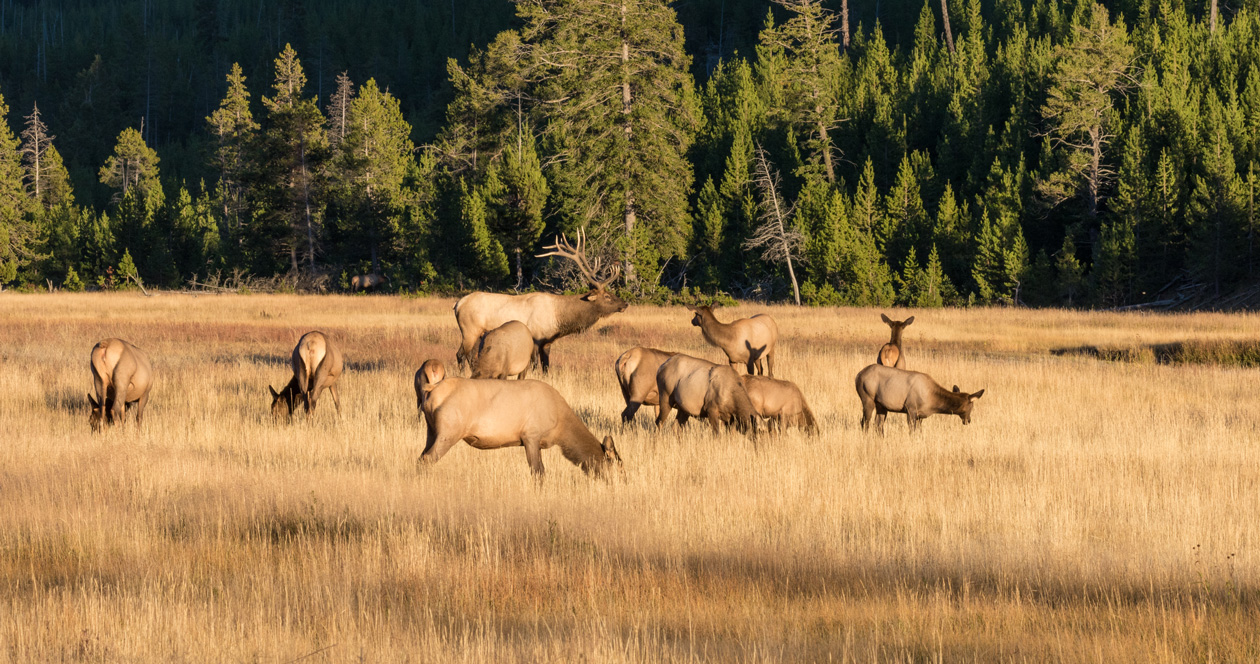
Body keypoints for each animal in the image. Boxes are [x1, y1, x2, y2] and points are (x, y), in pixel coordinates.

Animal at [418, 360, 623, 477]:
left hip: (431, 430)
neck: (561, 425)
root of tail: (432, 391)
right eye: (620, 468)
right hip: (450, 431)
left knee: (420, 457)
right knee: (428, 458)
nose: (625, 481)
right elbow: (538, 472)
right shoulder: (531, 435)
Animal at [453, 230, 626, 374]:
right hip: (469, 330)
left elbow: (546, 366)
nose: (625, 304)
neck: (559, 318)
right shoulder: (536, 337)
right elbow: (535, 365)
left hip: (478, 333)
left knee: (469, 355)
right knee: (462, 354)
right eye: (607, 296)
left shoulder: (548, 341)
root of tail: (457, 305)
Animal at [855, 364, 984, 434]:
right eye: (971, 407)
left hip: (881, 405)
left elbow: (919, 431)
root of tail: (858, 375)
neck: (932, 402)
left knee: (878, 424)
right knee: (864, 422)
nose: (968, 420)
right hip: (867, 398)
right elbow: (912, 431)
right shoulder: (911, 408)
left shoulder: (920, 415)